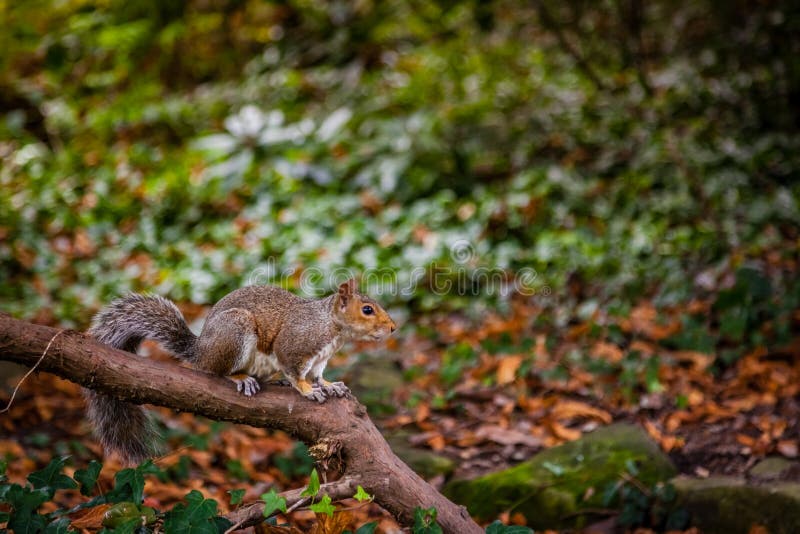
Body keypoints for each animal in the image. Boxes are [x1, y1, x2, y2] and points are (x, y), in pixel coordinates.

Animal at [85, 278, 396, 464]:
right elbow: (296, 371)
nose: (393, 328)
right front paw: (308, 390)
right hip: (235, 332)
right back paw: (241, 378)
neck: (332, 327)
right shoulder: (294, 345)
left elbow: (318, 374)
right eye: (367, 310)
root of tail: (201, 350)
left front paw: (329, 385)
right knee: (217, 371)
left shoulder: (320, 359)